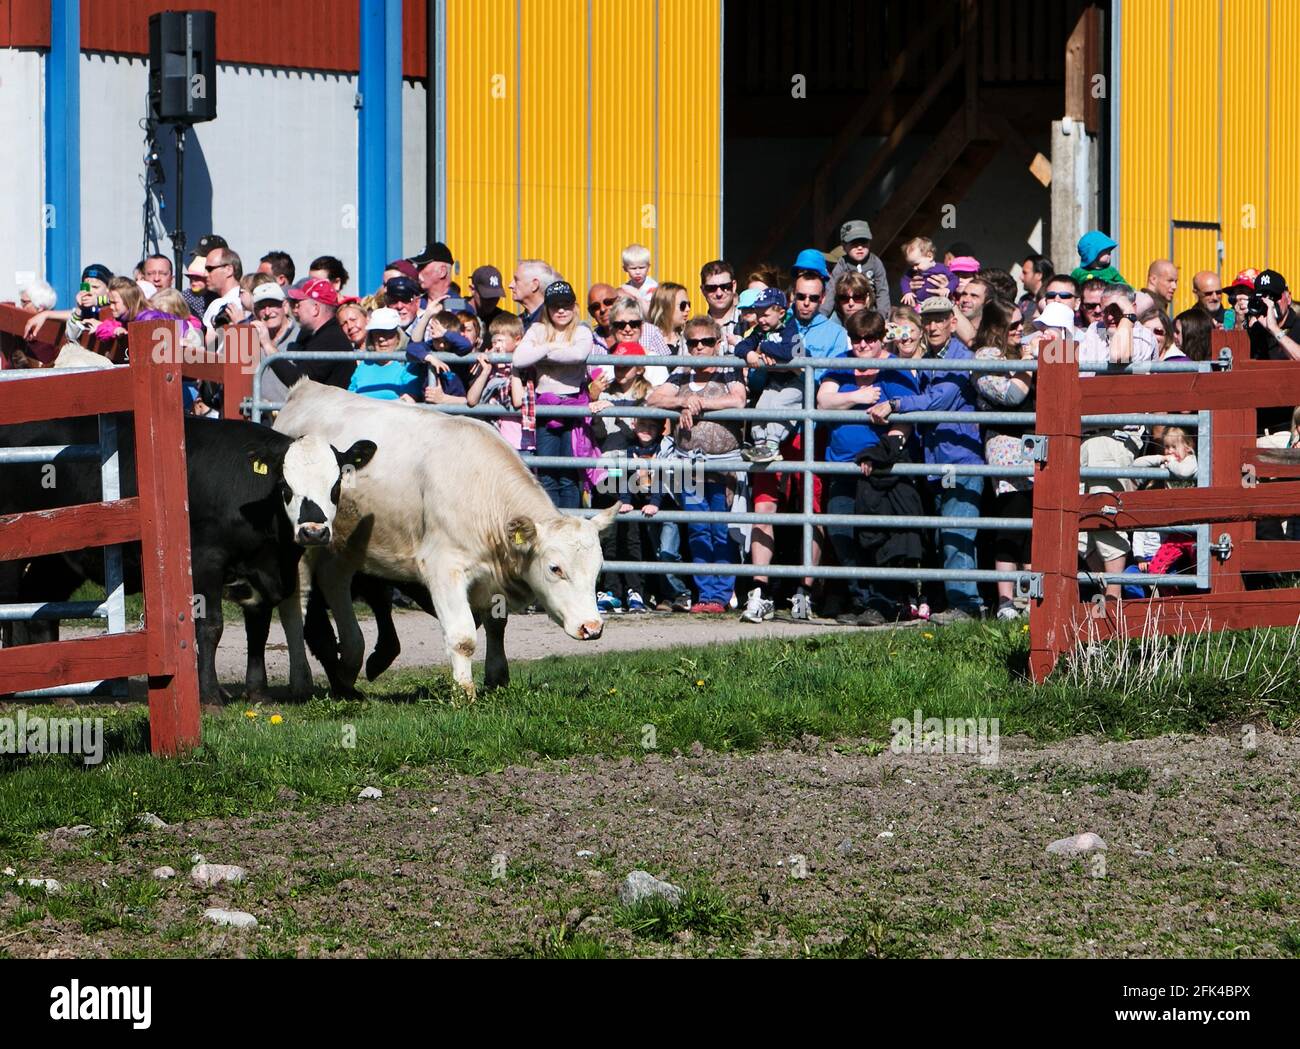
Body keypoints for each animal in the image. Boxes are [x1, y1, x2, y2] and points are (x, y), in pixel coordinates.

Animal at [0, 412, 376, 701]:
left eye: (335, 486)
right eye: (286, 485)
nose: (313, 531)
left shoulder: (265, 569)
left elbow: (258, 628)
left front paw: (258, 693)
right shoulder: (206, 561)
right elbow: (210, 626)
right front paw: (209, 696)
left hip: (58, 558)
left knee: (39, 605)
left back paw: (57, 690)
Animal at [272, 379, 619, 699]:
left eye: (597, 570)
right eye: (555, 568)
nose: (593, 627)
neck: (481, 488)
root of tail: (305, 390)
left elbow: (497, 626)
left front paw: (497, 678)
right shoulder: (443, 567)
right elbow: (463, 637)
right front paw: (464, 692)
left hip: (347, 544)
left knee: (335, 580)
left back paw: (349, 667)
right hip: (302, 541)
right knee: (294, 605)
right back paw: (302, 681)